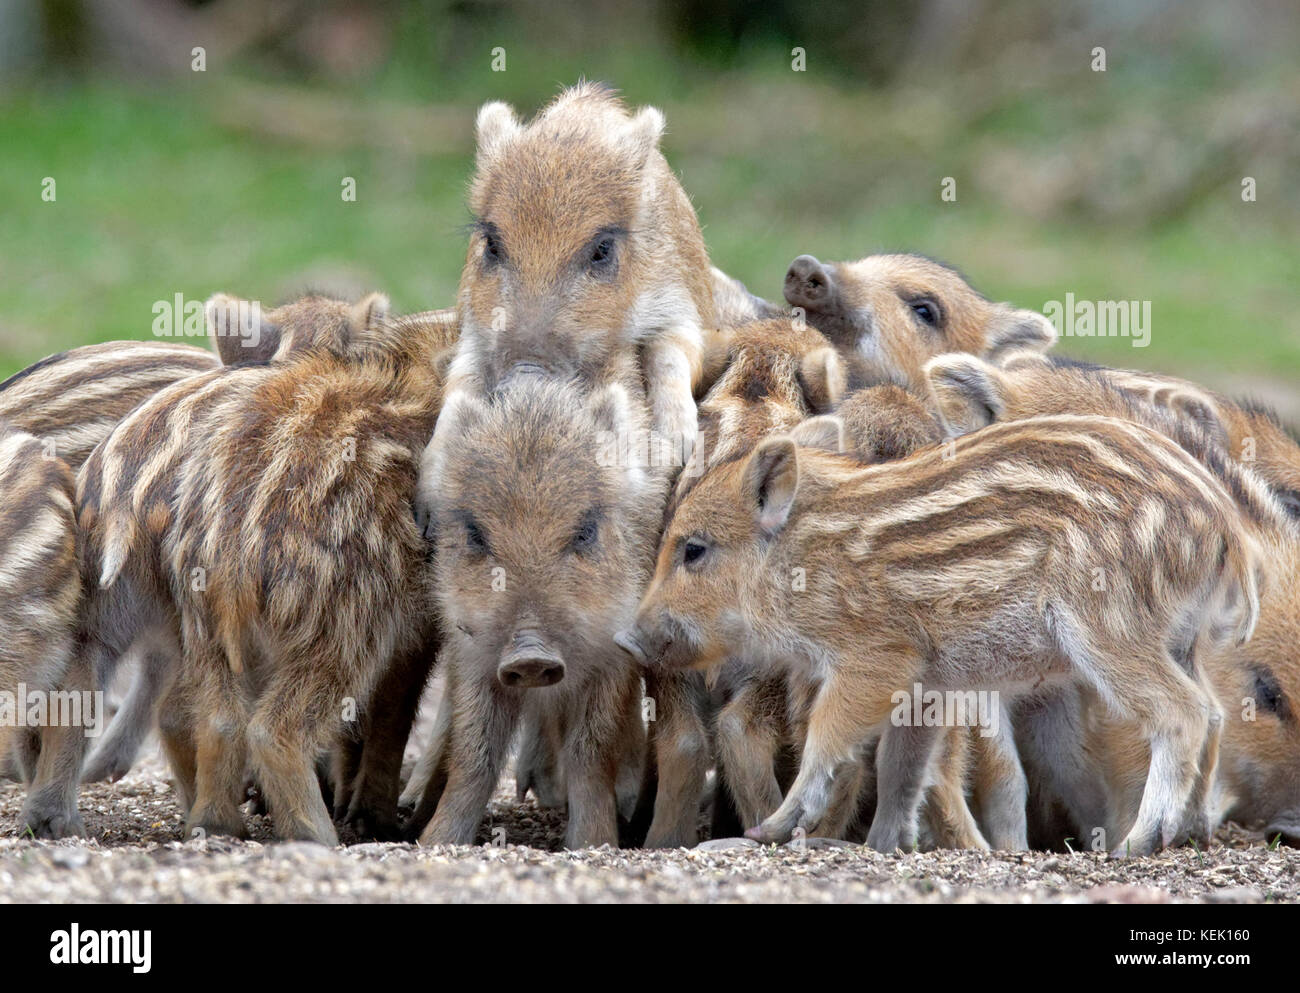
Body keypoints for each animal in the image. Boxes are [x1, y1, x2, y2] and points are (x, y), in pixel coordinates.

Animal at [404, 377, 661, 849]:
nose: (529, 655)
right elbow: (474, 752)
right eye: (475, 534)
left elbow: (591, 752)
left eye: (586, 531)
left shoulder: (616, 654)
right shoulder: (472, 654)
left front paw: (591, 844)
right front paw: (435, 842)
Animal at [415, 81, 720, 533]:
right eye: (492, 244)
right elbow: (459, 383)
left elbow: (674, 354)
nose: (526, 374)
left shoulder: (681, 302)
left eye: (602, 249)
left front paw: (675, 449)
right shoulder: (476, 322)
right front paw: (427, 512)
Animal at [620, 413, 1264, 855]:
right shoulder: (928, 684)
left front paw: (772, 829)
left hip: (1108, 628)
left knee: (1181, 712)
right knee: (1214, 713)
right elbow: (900, 766)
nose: (628, 641)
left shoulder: (878, 658)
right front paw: (882, 847)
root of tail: (1224, 527)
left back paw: (1137, 843)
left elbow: (831, 736)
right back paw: (1191, 835)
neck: (805, 556)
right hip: (1180, 640)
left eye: (694, 550)